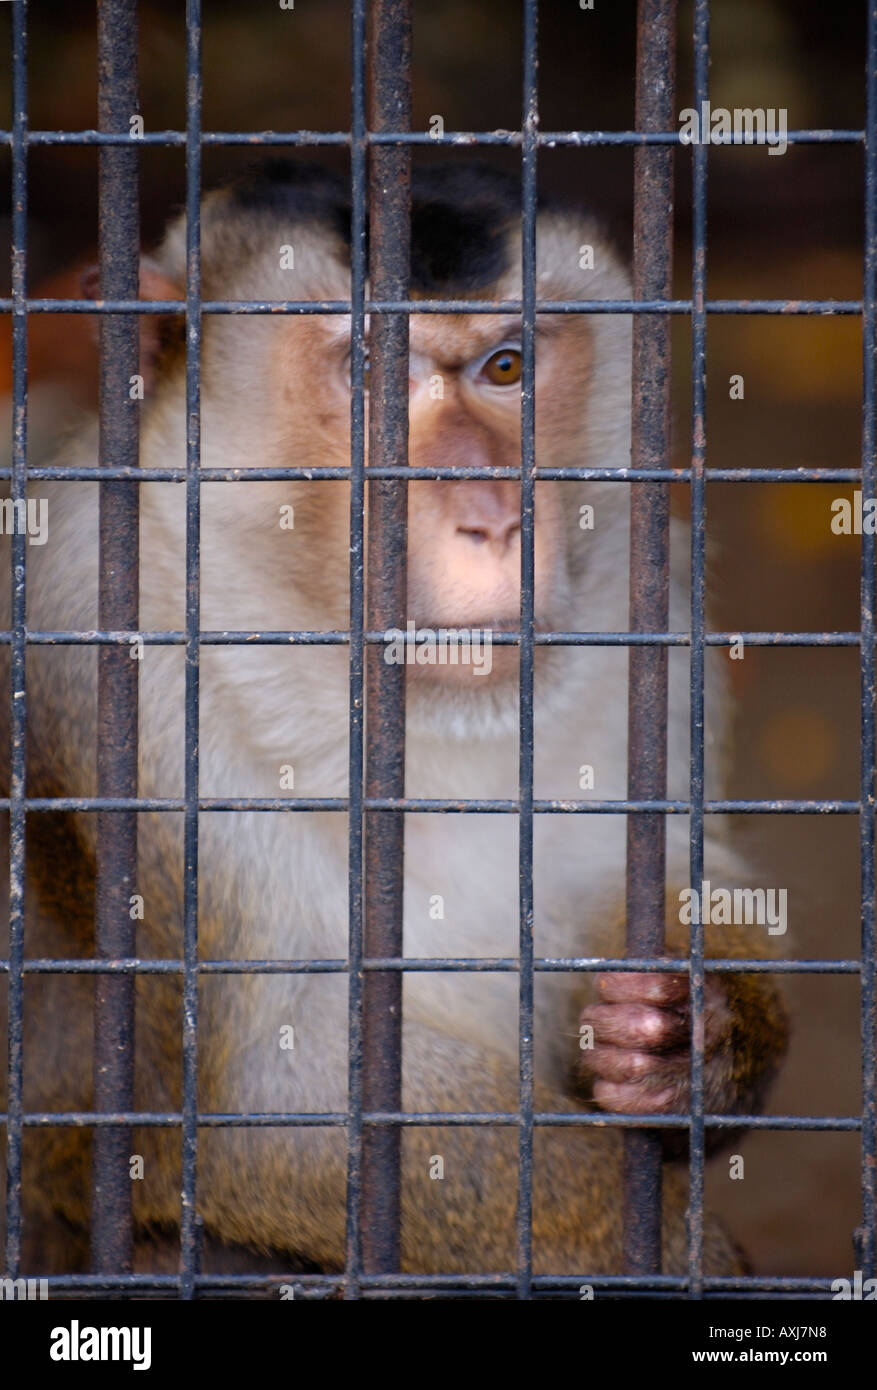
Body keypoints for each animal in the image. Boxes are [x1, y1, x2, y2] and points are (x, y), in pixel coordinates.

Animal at [0, 161, 788, 1285]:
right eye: (369, 374)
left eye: (506, 366)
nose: (492, 516)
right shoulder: (109, 665)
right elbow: (275, 1101)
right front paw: (678, 1254)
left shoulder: (656, 623)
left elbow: (664, 874)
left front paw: (694, 1038)